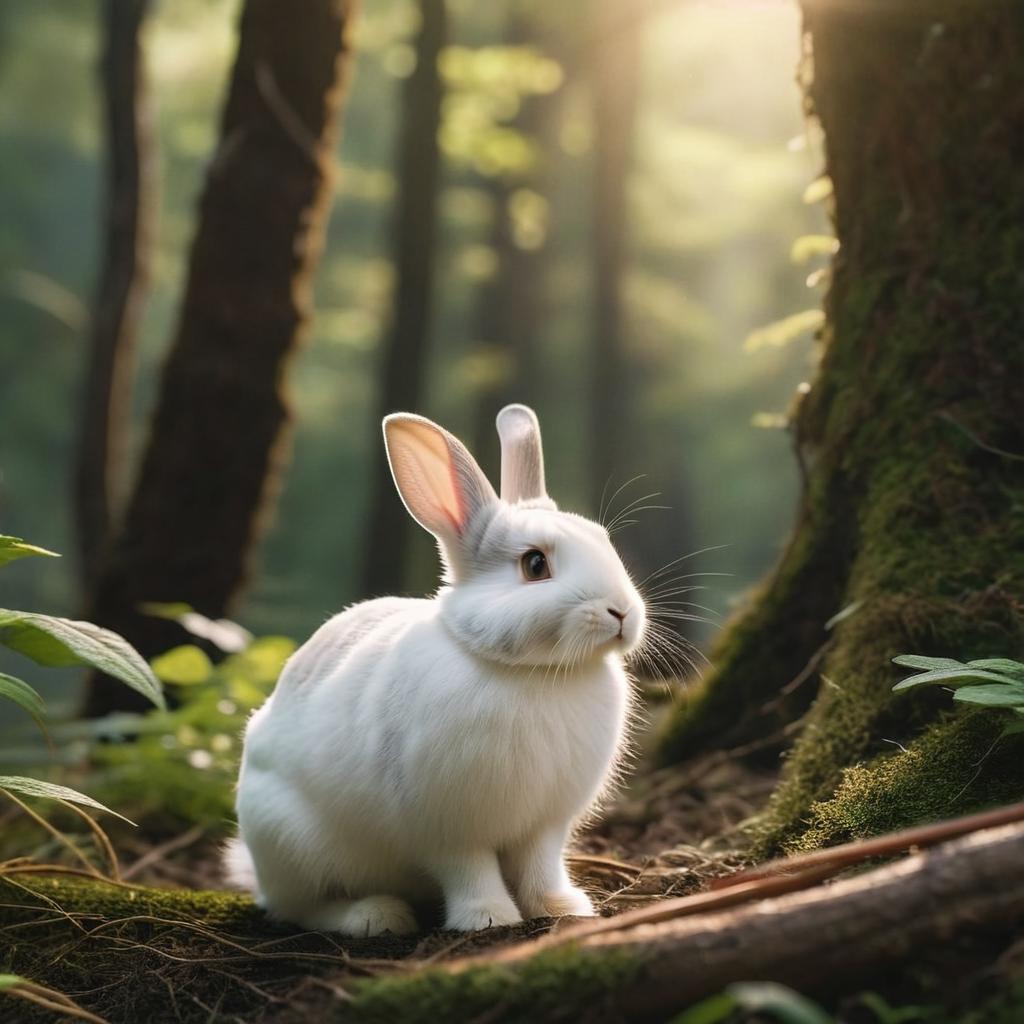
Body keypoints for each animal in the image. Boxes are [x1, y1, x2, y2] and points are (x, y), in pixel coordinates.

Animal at [228, 404, 646, 935]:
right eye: (535, 565)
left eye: (604, 542)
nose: (622, 612)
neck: (533, 671)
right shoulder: (447, 825)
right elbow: (469, 869)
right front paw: (488, 918)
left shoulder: (545, 824)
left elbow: (541, 865)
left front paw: (562, 907)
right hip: (291, 843)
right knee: (300, 907)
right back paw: (376, 916)